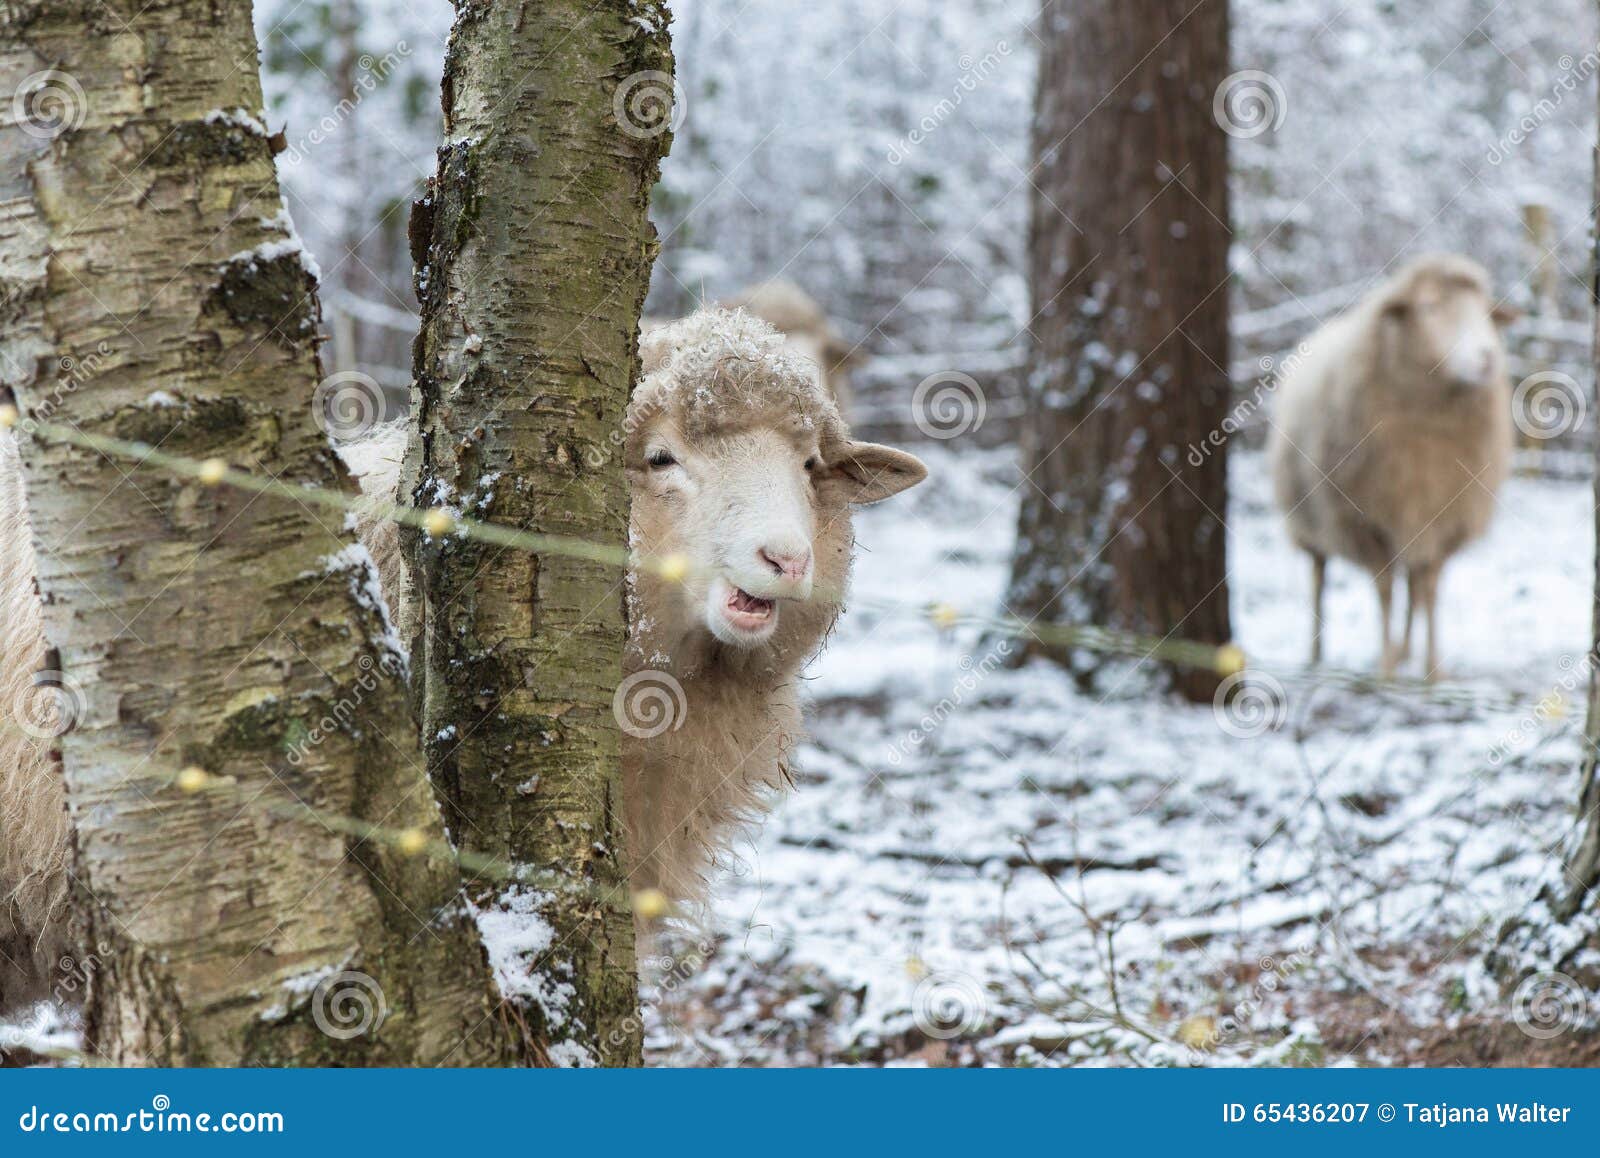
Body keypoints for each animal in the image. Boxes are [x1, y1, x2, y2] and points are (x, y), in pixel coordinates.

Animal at [1268, 253, 1515, 679]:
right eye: (1429, 306)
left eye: (1486, 310)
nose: (1487, 357)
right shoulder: (1364, 522)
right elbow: (1384, 590)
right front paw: (1385, 667)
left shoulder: (1441, 518)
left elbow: (1428, 590)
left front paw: (1432, 669)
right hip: (1309, 522)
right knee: (1319, 577)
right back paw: (1317, 654)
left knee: (1412, 587)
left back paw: (1407, 652)